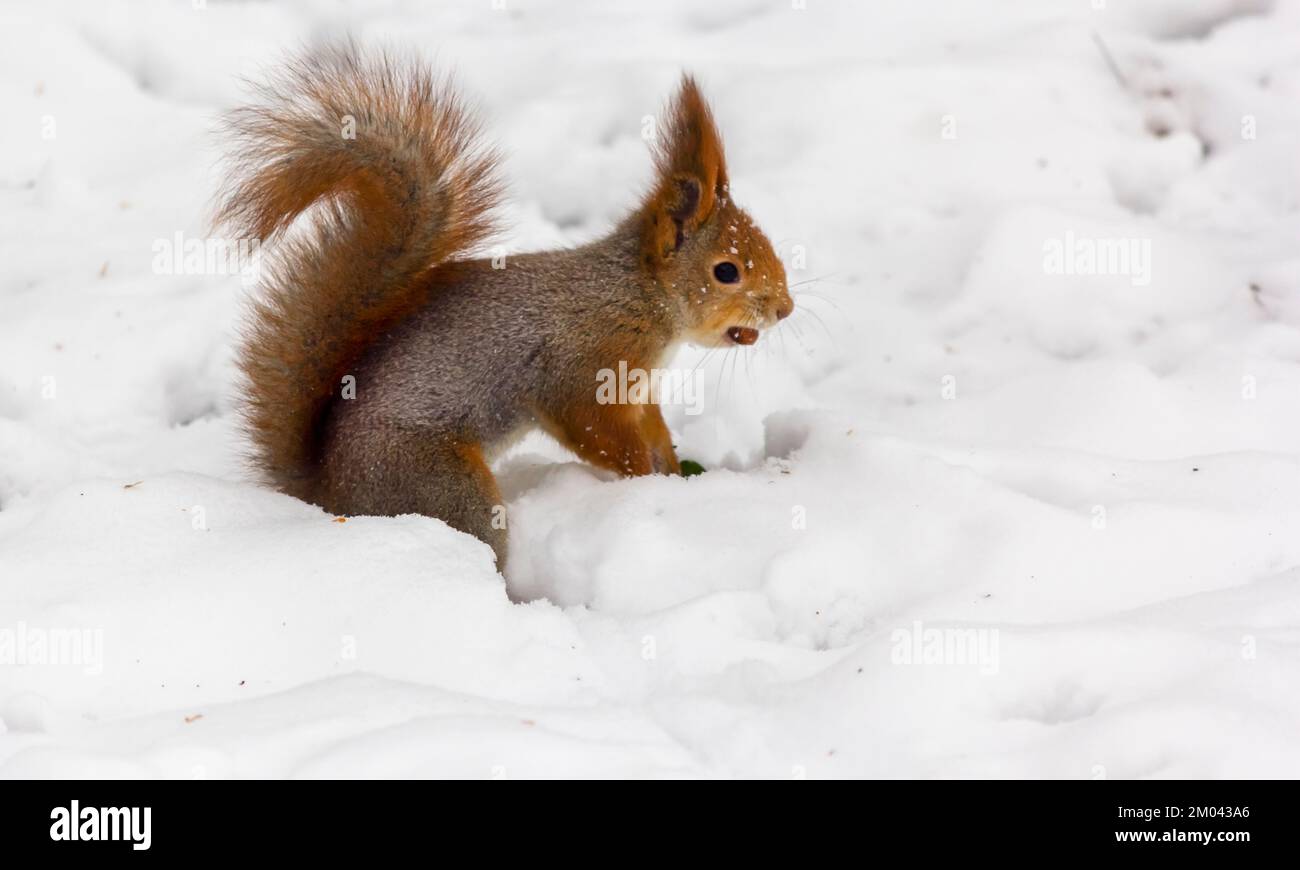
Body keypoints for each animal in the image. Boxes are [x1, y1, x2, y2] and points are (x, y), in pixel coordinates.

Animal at [216, 44, 792, 570]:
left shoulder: (636, 388)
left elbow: (652, 428)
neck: (636, 294)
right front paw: (644, 480)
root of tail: (327, 493)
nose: (784, 309)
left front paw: (672, 470)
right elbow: (593, 428)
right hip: (440, 486)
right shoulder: (580, 368)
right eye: (726, 271)